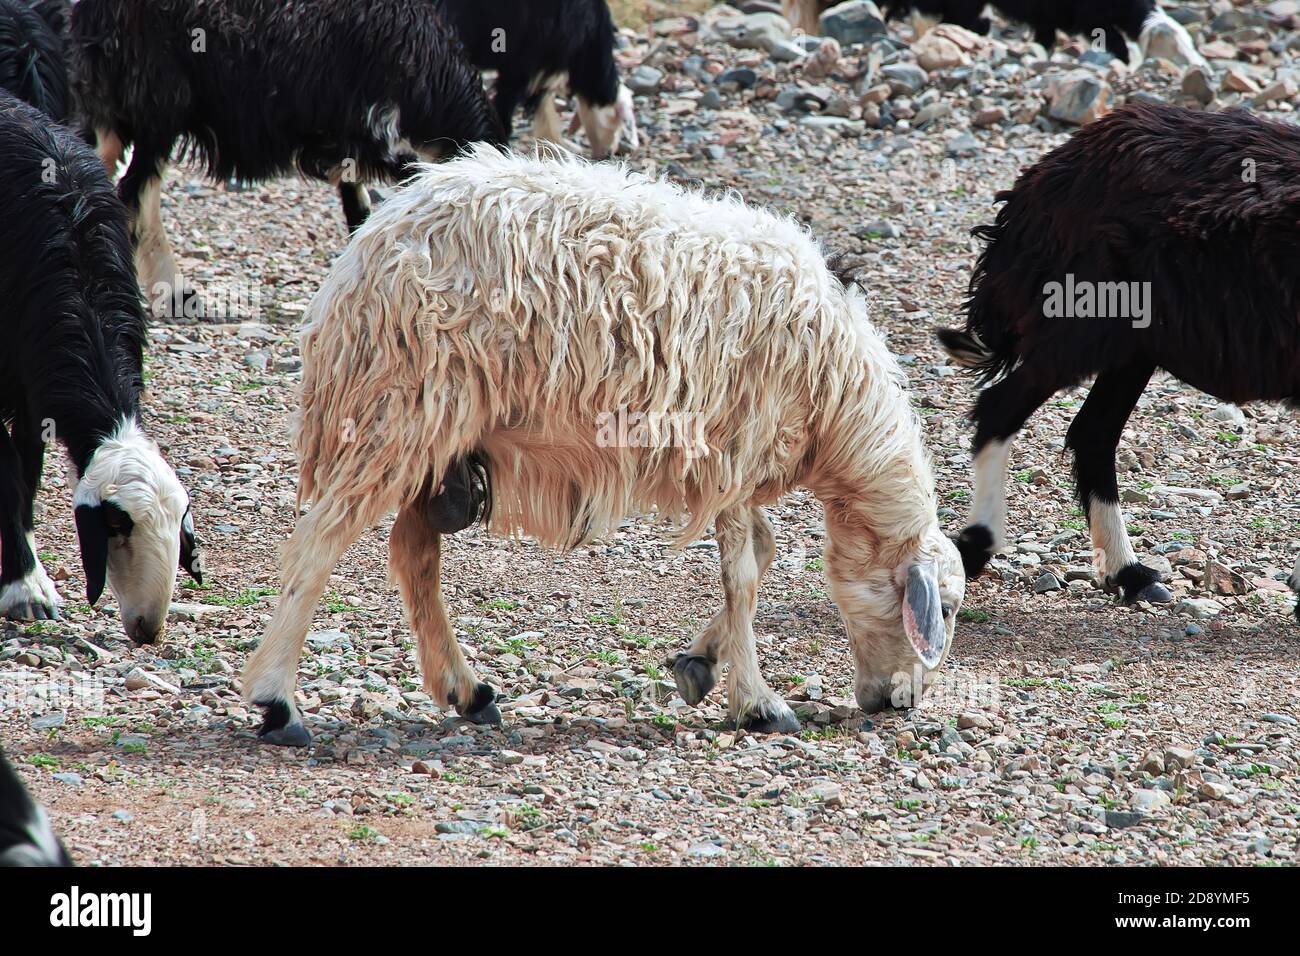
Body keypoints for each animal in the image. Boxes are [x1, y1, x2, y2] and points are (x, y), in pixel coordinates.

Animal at [0, 91, 202, 641]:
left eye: (179, 525)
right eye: (113, 526)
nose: (147, 628)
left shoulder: (33, 387)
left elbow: (27, 465)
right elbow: (9, 466)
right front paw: (25, 586)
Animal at [70, 0, 504, 317]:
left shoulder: (349, 141)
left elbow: (360, 214)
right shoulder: (372, 134)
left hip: (117, 107)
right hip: (157, 99)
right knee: (135, 194)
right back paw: (176, 294)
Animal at [241, 146, 966, 746]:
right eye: (946, 608)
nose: (898, 704)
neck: (836, 403)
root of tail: (365, 248)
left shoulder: (737, 465)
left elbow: (758, 556)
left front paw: (700, 664)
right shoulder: (733, 447)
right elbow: (744, 574)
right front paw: (759, 702)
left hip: (439, 430)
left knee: (412, 549)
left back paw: (466, 691)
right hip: (400, 406)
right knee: (319, 543)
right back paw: (278, 702)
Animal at [937, 101, 1300, 619]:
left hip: (1134, 344)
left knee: (1092, 432)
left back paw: (1128, 573)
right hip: (1084, 322)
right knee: (1002, 407)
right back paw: (977, 543)